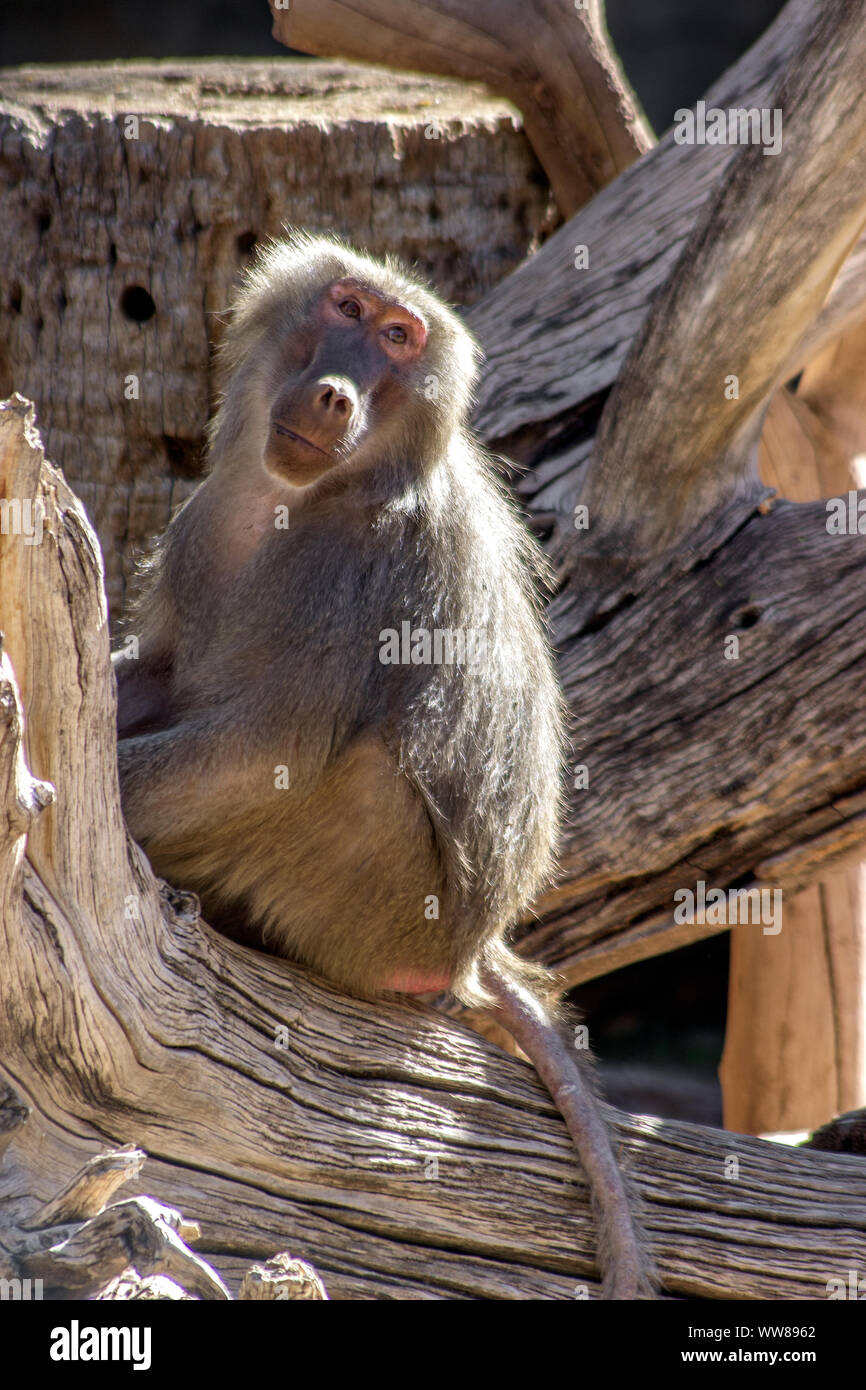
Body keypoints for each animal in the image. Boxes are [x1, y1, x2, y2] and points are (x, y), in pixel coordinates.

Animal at [113, 231, 655, 1299]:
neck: (301, 497)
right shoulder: (207, 522)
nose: (335, 395)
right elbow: (158, 679)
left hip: (379, 902)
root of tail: (472, 950)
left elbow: (260, 758)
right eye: (350, 311)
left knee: (354, 777)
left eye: (401, 340)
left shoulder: (353, 565)